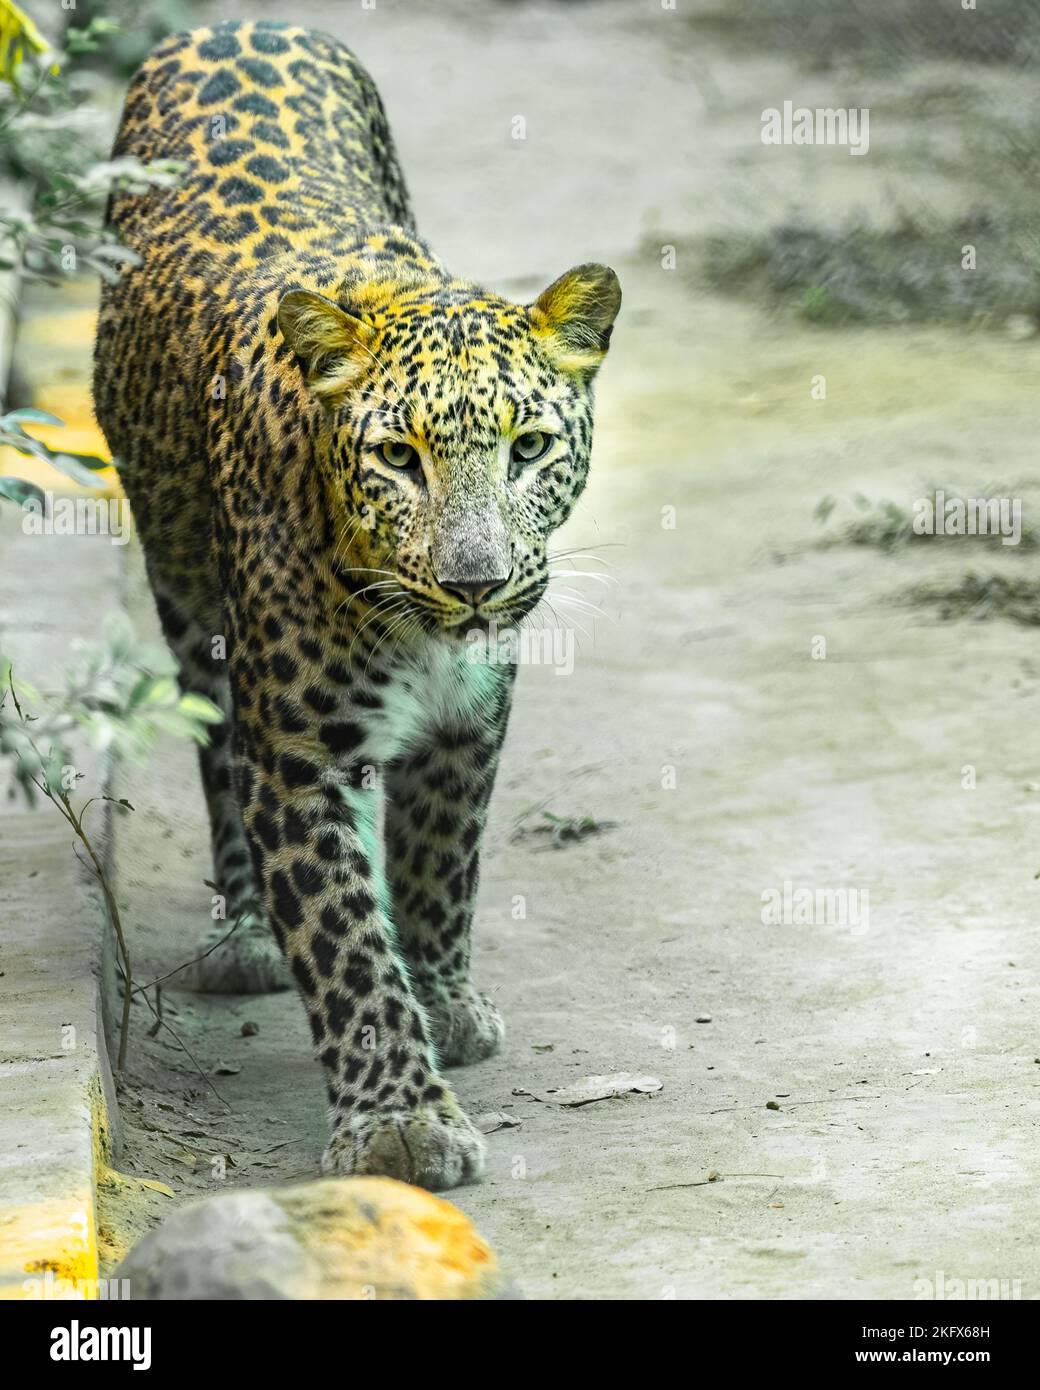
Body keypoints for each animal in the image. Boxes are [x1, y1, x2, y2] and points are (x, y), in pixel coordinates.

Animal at [93, 19, 620, 1190]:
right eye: (396, 458)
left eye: (528, 447)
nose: (474, 582)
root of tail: (235, 20)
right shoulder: (298, 753)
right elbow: (341, 940)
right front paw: (398, 1121)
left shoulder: (473, 712)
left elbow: (440, 857)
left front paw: (445, 1000)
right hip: (188, 600)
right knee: (216, 749)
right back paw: (244, 932)